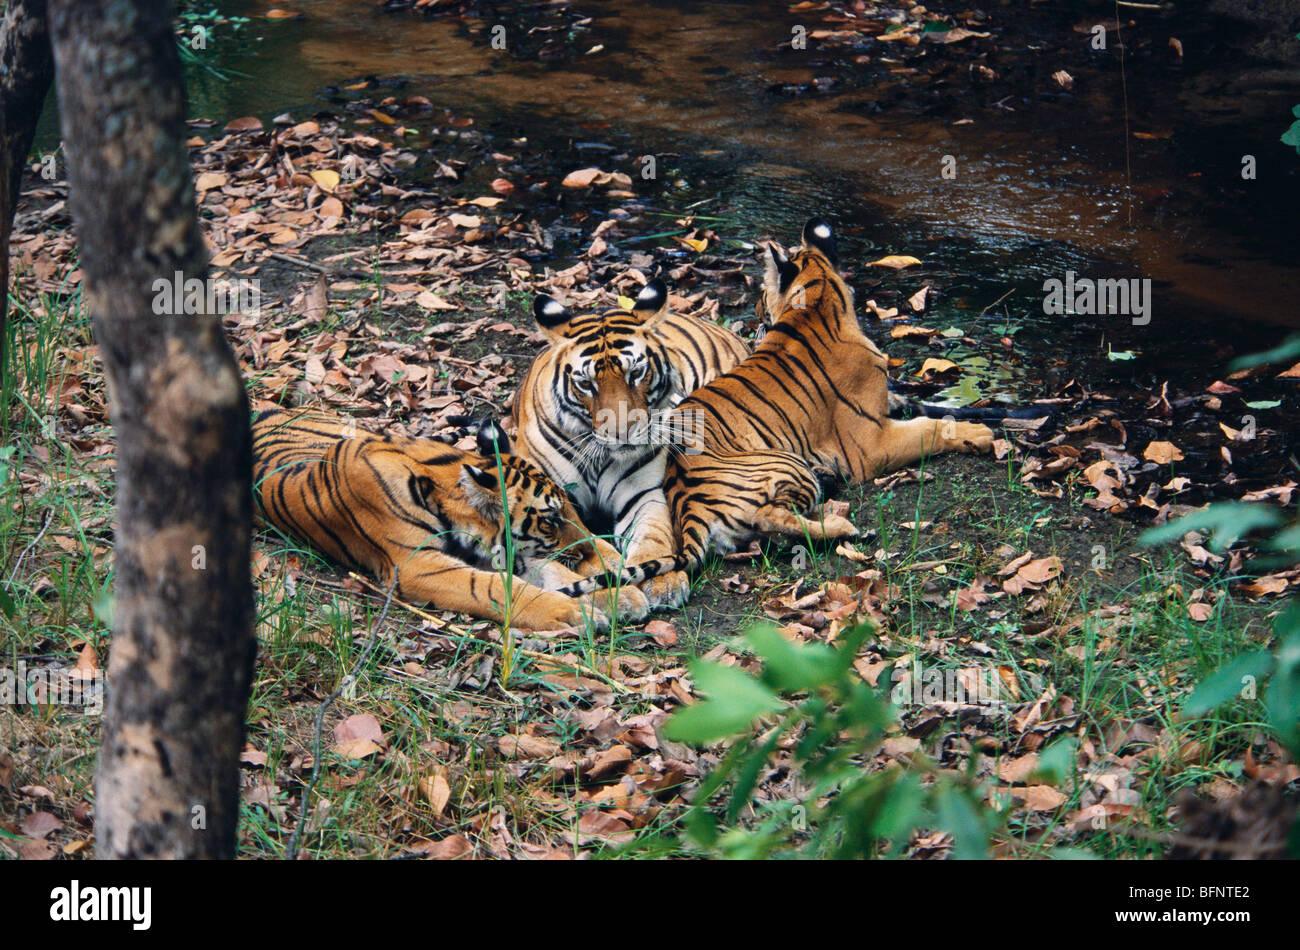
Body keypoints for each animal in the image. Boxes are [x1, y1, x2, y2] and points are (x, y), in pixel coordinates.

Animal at [251, 408, 649, 630]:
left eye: (568, 509)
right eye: (549, 520)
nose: (585, 550)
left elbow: (556, 573)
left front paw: (621, 596)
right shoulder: (419, 565)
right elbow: (495, 588)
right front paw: (571, 611)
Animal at [510, 276, 749, 608]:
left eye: (635, 373)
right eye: (586, 383)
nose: (622, 431)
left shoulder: (643, 493)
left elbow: (653, 537)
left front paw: (662, 580)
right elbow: (585, 544)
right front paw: (616, 590)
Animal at [557, 217, 993, 599]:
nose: (754, 314)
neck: (818, 305)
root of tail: (686, 500)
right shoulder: (871, 445)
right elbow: (930, 428)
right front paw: (981, 433)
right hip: (788, 463)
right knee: (770, 518)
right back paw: (844, 526)